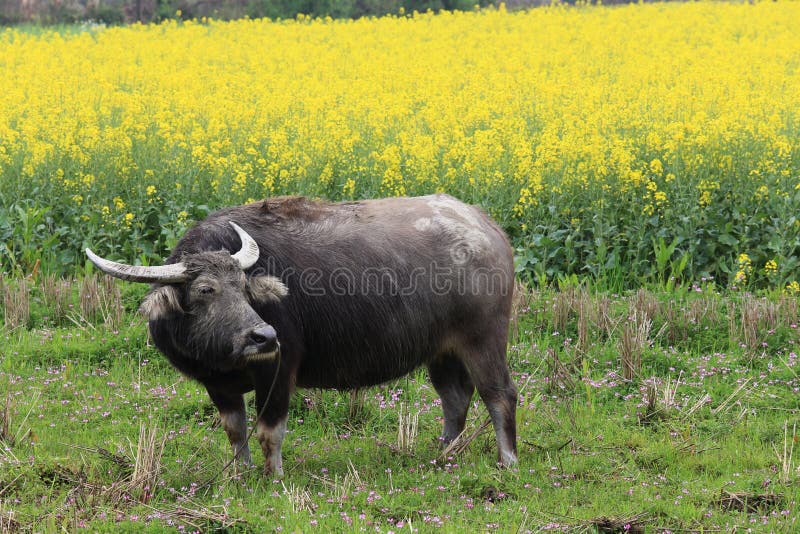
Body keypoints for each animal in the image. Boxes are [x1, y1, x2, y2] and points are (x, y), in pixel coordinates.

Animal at [86, 194, 518, 476]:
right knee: (455, 398)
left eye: (243, 287)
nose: (263, 336)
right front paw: (241, 474)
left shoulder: (280, 370)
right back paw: (443, 454)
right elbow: (235, 431)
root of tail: (488, 229)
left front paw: (274, 477)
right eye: (205, 290)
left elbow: (269, 431)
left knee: (499, 395)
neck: (225, 357)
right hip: (442, 351)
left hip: (484, 339)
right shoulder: (217, 385)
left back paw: (508, 462)